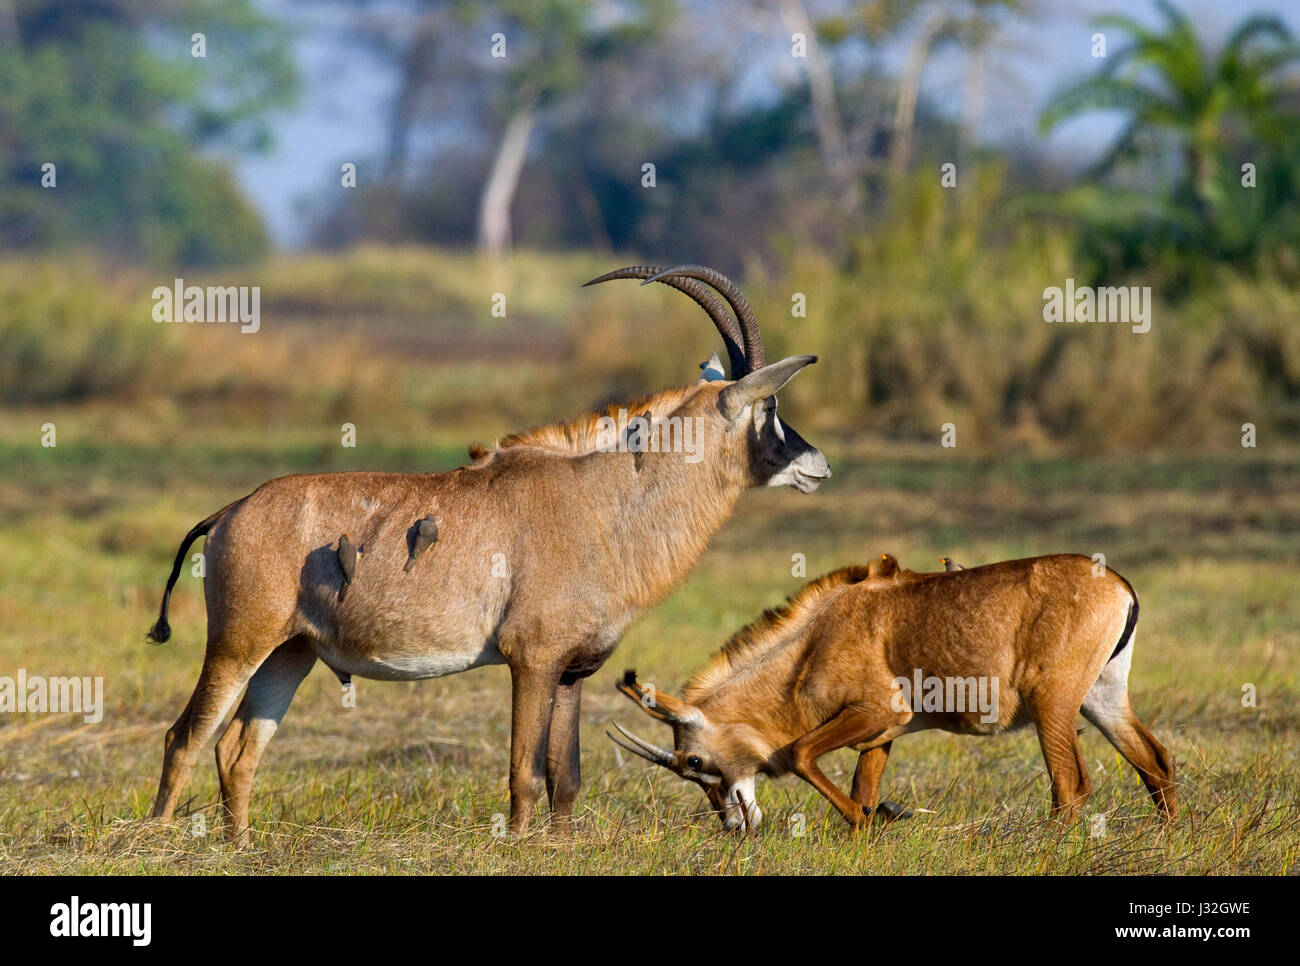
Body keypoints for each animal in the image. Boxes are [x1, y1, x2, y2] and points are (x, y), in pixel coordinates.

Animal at [145, 264, 830, 844]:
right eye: (771, 405)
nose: (817, 463)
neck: (604, 499)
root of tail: (230, 511)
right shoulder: (531, 660)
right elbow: (524, 770)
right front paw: (522, 846)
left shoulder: (573, 671)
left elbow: (566, 777)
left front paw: (558, 846)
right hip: (237, 645)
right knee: (185, 736)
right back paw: (157, 841)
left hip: (289, 655)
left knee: (237, 750)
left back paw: (241, 845)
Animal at [609, 554, 1176, 832]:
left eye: (693, 762)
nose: (732, 825)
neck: (815, 639)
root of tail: (1119, 584)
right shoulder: (883, 733)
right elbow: (862, 786)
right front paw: (869, 823)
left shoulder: (875, 711)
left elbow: (801, 753)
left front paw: (875, 818)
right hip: (1101, 699)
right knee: (1155, 759)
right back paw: (1167, 838)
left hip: (1051, 704)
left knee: (1070, 784)